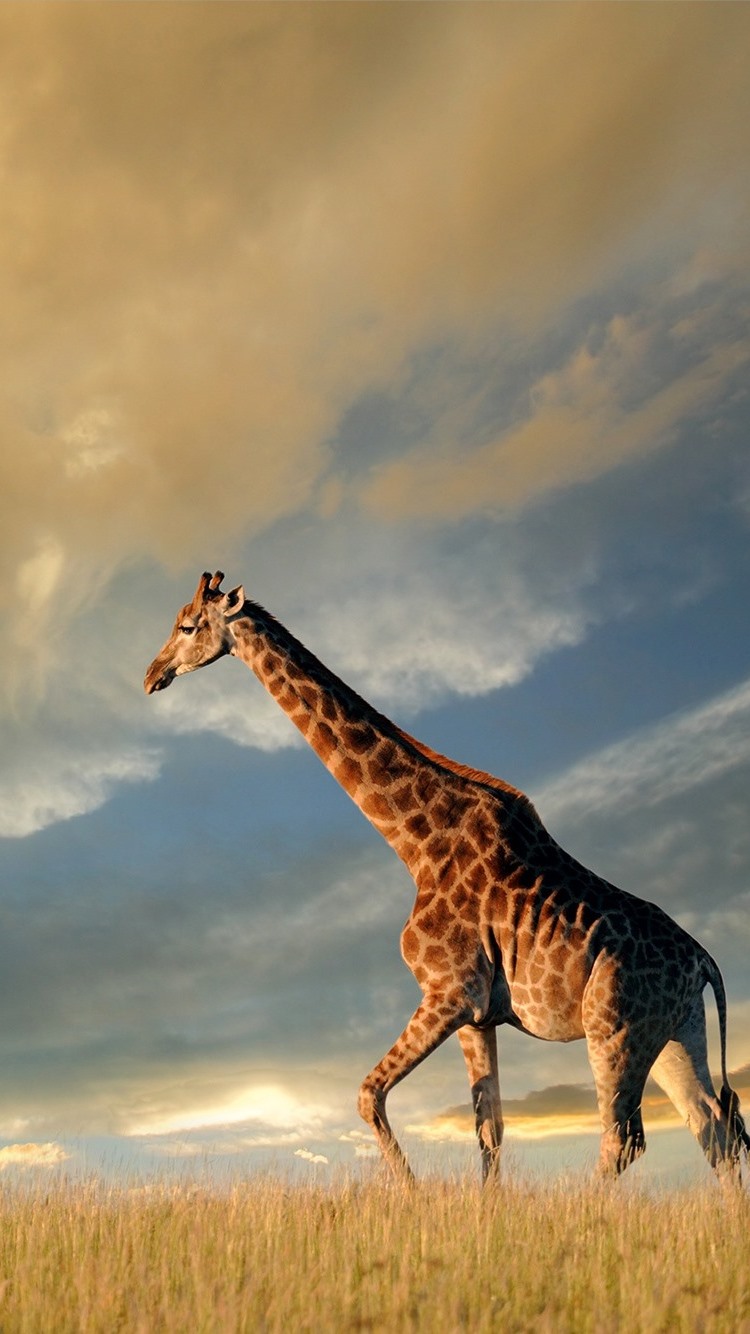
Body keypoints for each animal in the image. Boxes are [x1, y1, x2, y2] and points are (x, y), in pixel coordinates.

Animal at [144, 572, 749, 1184]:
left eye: (188, 626)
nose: (151, 675)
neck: (417, 845)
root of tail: (703, 960)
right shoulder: (477, 1015)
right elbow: (490, 1129)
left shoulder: (448, 991)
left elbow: (369, 1094)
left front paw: (412, 1191)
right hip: (676, 1031)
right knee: (713, 1128)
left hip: (614, 1027)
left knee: (625, 1137)